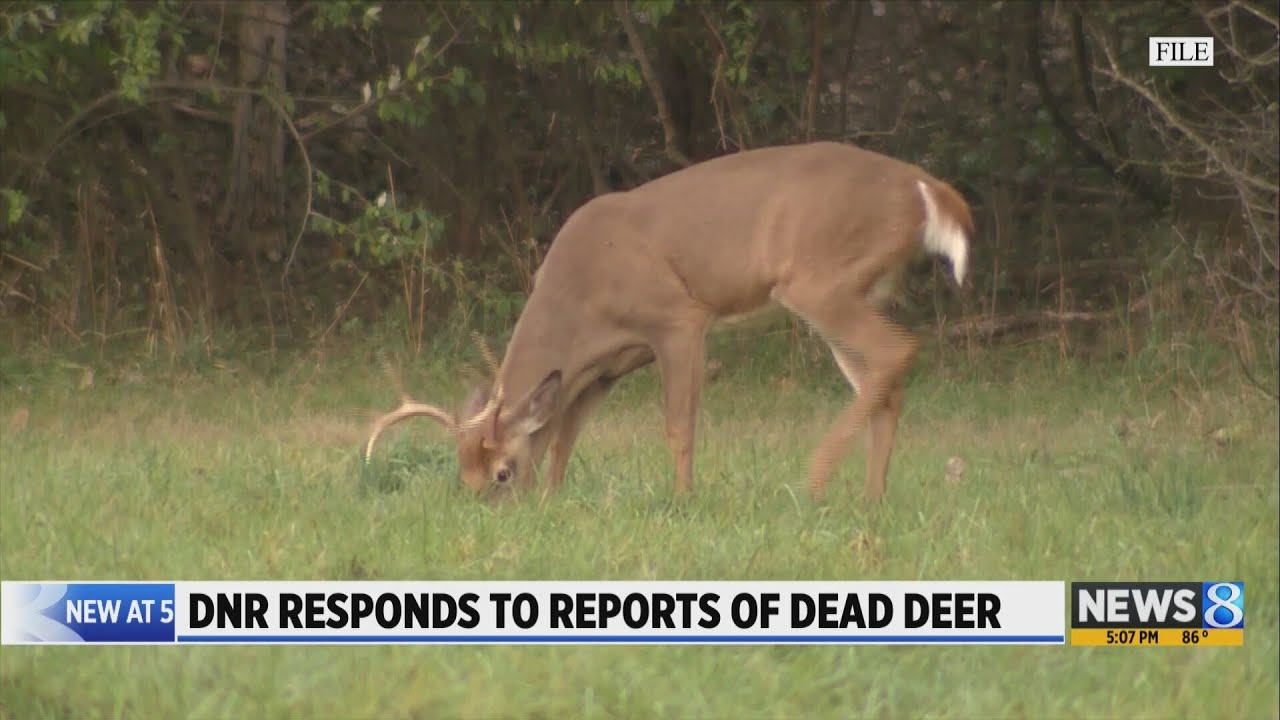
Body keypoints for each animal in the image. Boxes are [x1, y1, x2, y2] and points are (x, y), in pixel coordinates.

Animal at [364, 141, 972, 503]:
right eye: (462, 472)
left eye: (501, 473)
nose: (494, 512)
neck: (578, 294)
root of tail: (927, 191)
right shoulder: (604, 365)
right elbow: (564, 434)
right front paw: (555, 502)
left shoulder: (678, 318)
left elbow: (680, 426)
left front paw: (682, 502)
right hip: (853, 289)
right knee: (884, 383)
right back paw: (871, 500)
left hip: (820, 279)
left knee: (898, 351)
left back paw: (816, 479)